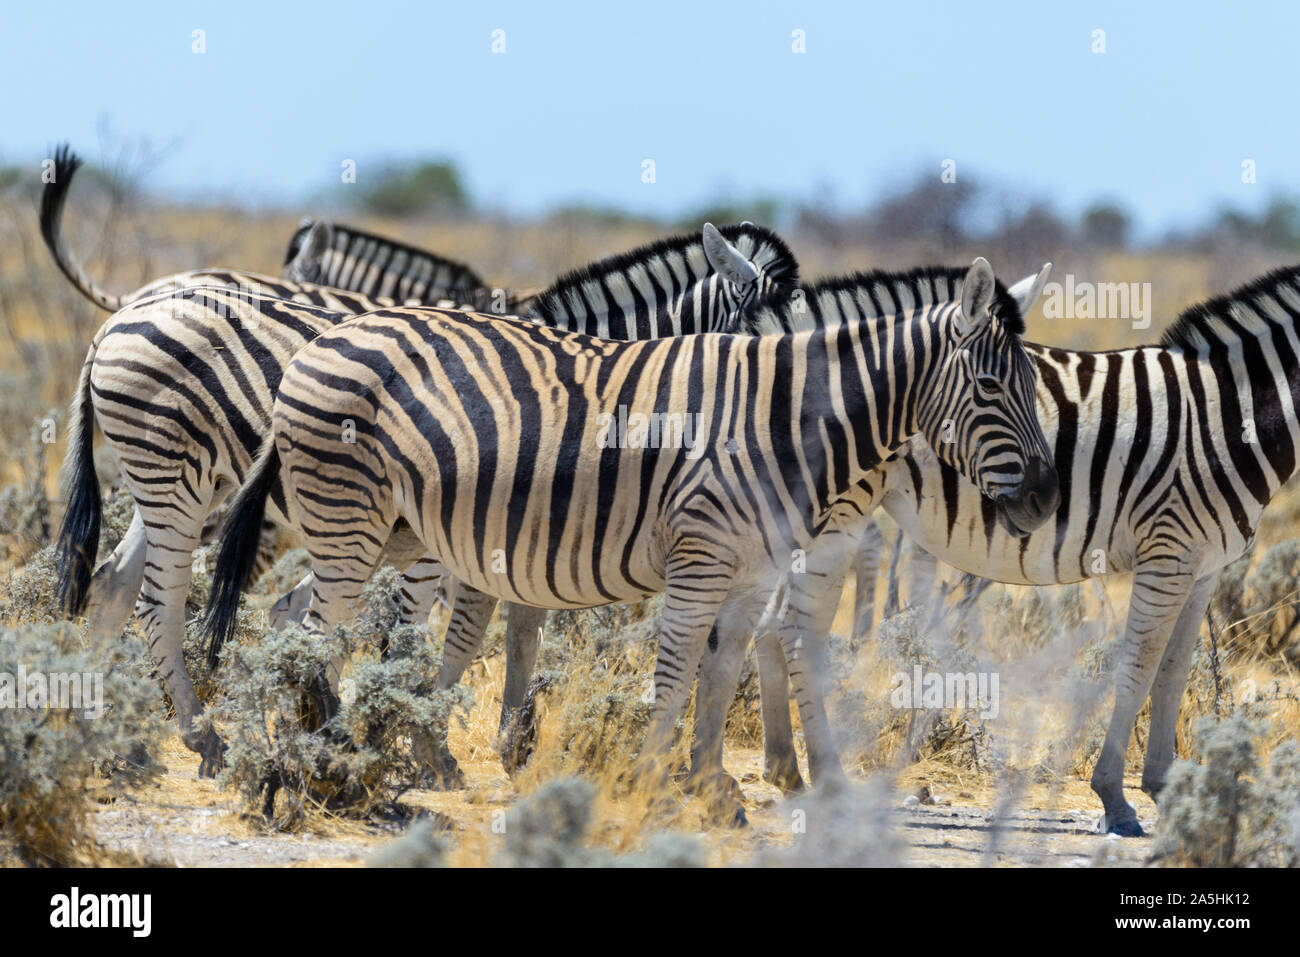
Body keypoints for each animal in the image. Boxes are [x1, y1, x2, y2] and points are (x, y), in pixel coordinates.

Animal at [52, 221, 801, 775]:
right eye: (764, 368)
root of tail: (123, 315)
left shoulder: (533, 528)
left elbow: (519, 631)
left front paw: (505, 742)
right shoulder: (480, 529)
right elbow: (455, 636)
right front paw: (422, 742)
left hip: (182, 488)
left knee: (117, 584)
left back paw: (111, 732)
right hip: (175, 479)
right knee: (158, 599)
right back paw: (196, 737)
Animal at [201, 257, 1060, 821]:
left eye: (1033, 384)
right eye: (992, 386)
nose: (1047, 496)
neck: (786, 421)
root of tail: (324, 338)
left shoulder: (752, 572)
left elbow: (721, 673)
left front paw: (712, 786)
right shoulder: (700, 557)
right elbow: (675, 674)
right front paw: (651, 778)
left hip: (389, 532)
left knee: (289, 618)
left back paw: (306, 736)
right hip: (350, 517)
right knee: (318, 630)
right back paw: (306, 758)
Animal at [738, 263, 1300, 835]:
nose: (1046, 497)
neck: (1229, 417)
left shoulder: (1202, 566)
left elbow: (1174, 675)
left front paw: (1167, 788)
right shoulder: (1167, 551)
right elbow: (1137, 670)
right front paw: (1115, 797)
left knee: (769, 625)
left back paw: (785, 773)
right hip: (838, 509)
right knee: (798, 629)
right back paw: (825, 780)